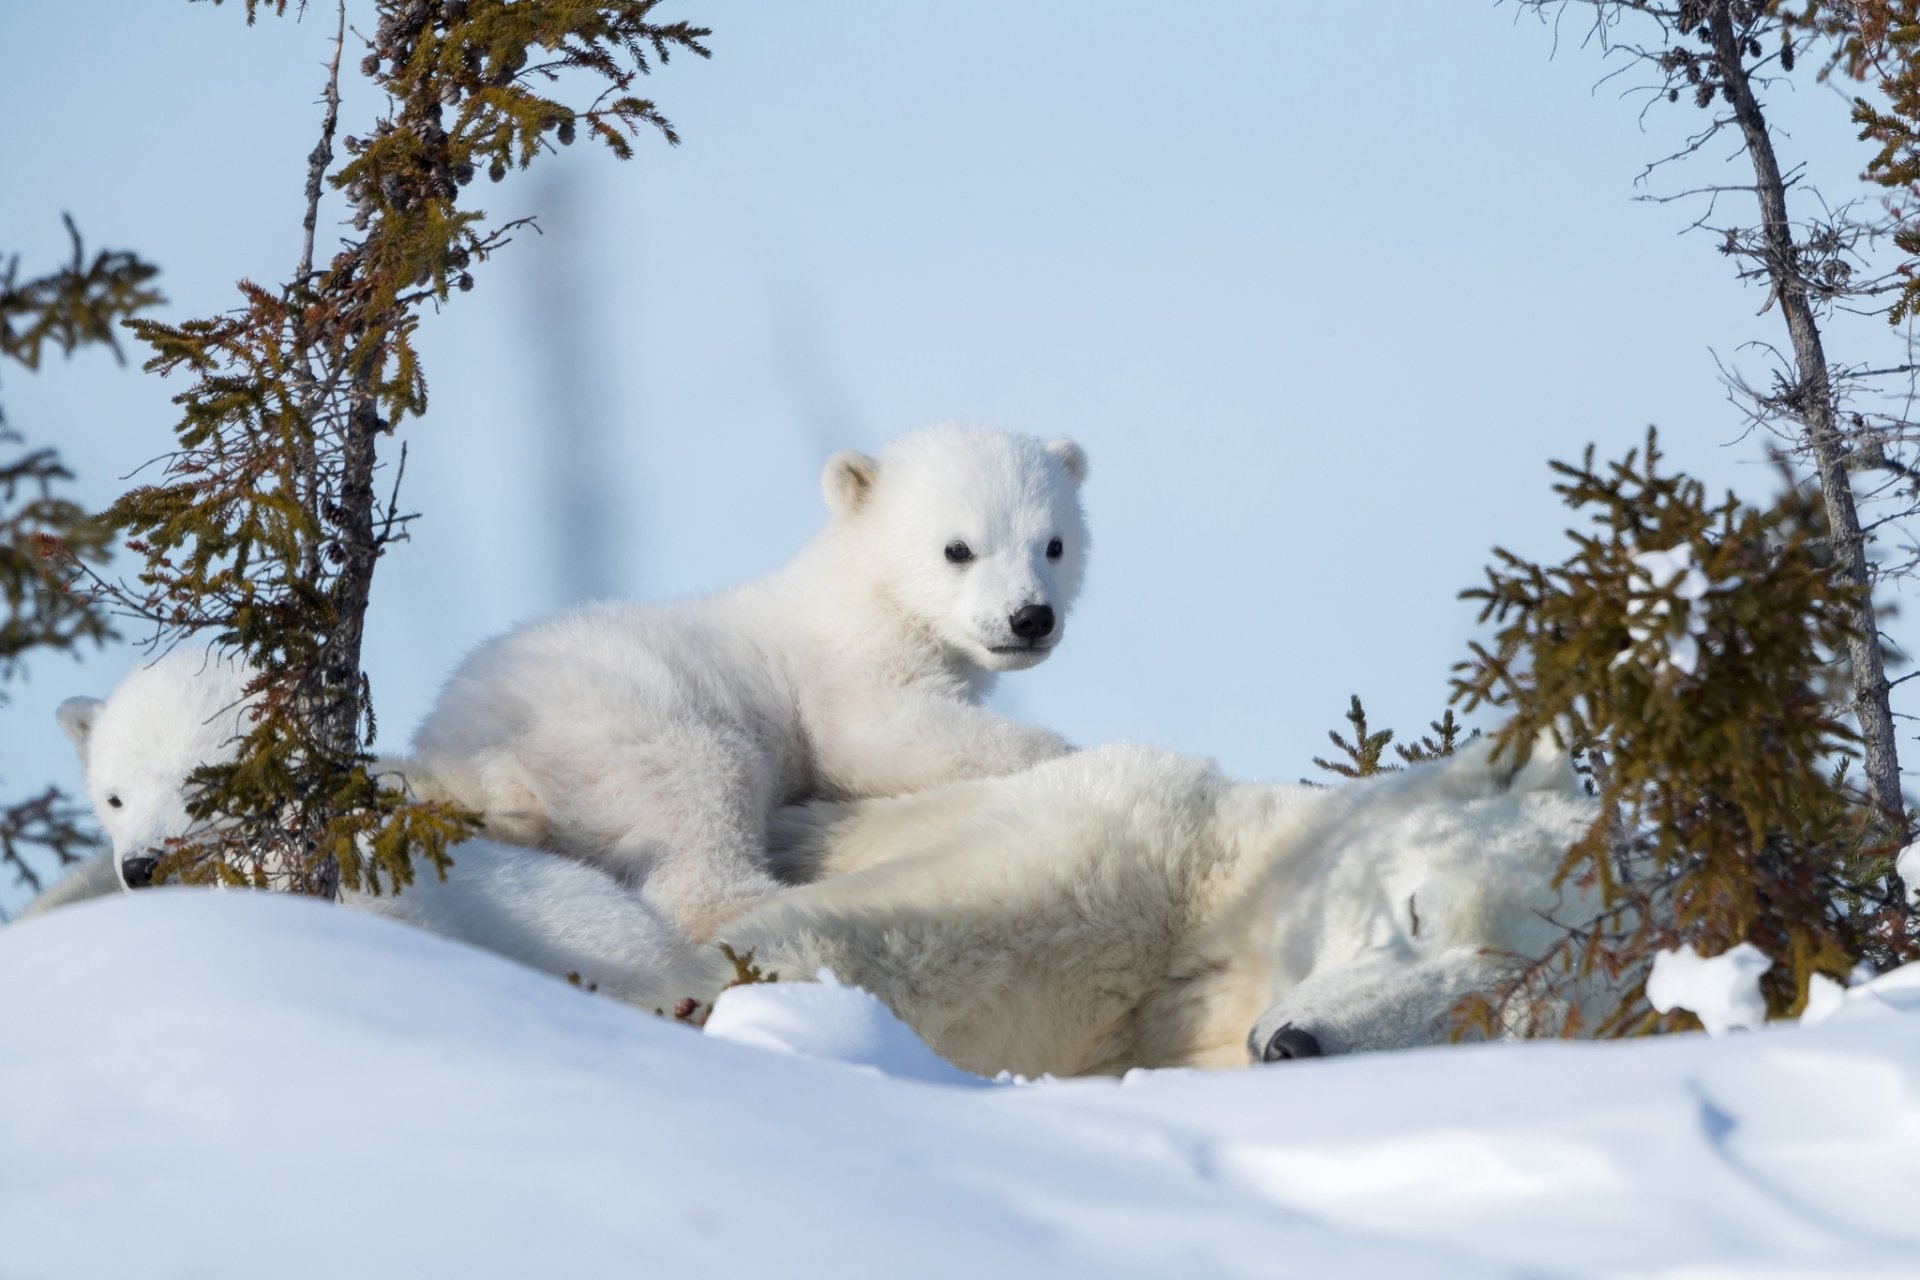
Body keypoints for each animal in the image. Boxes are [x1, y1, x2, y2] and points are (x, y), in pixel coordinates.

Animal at [408, 423, 1089, 939]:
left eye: (1054, 544)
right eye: (958, 548)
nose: (1030, 618)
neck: (862, 592)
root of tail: (460, 745)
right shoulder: (849, 665)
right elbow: (875, 740)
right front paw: (1064, 750)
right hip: (620, 728)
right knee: (699, 793)